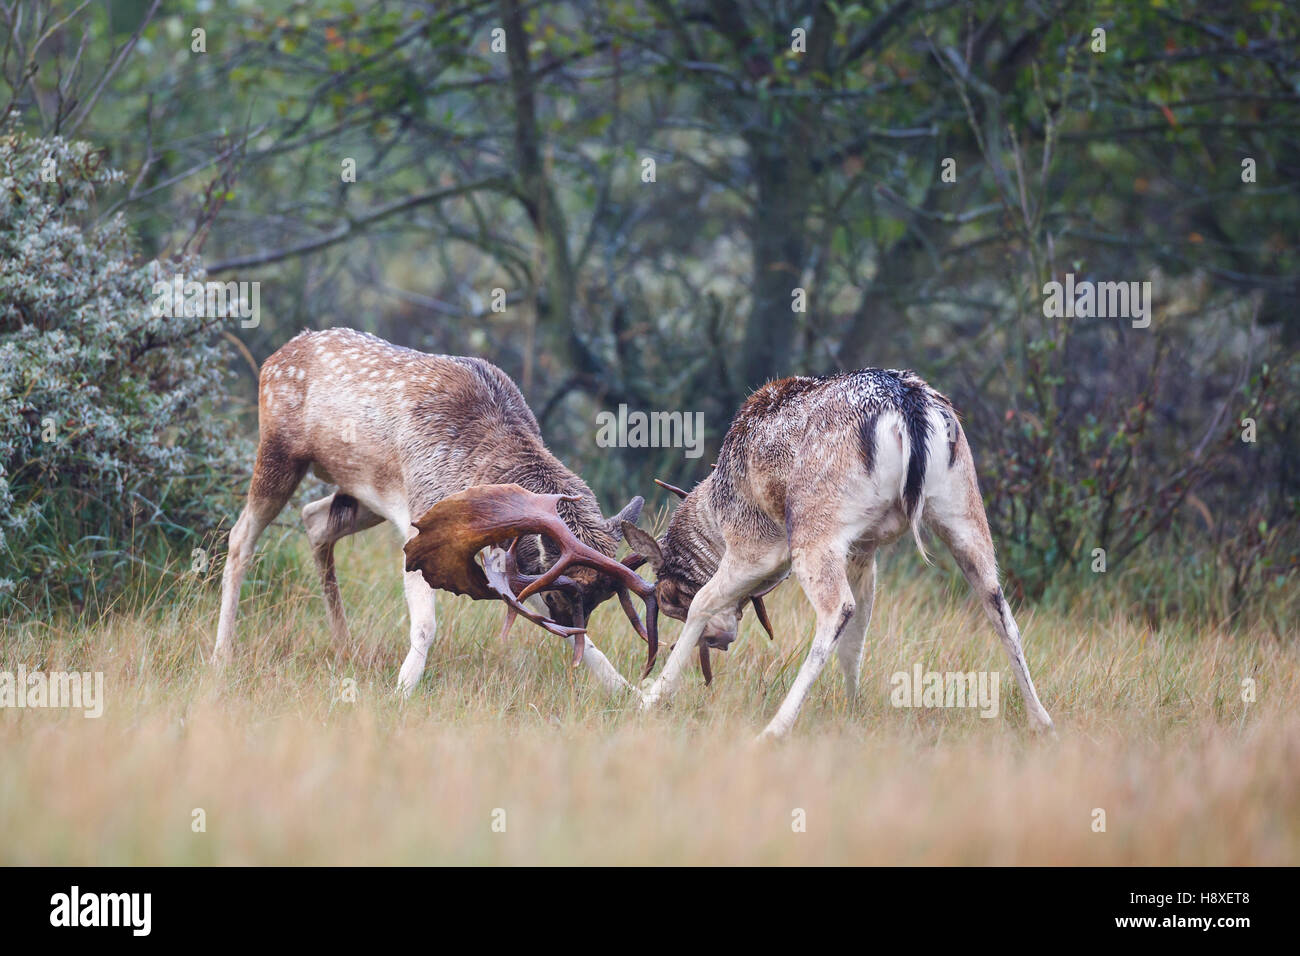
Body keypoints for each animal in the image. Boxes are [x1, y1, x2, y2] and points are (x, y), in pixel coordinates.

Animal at [212, 327, 657, 694]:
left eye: (598, 599)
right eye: (559, 592)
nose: (567, 625)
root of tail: (274, 357)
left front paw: (628, 692)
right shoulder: (422, 524)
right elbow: (425, 625)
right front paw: (402, 690)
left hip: (362, 494)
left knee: (315, 520)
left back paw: (344, 646)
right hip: (278, 453)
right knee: (241, 536)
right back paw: (223, 655)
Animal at [620, 368, 1056, 740]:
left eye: (671, 600)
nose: (721, 640)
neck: (718, 508)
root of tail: (909, 407)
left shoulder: (754, 544)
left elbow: (706, 600)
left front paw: (651, 698)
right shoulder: (865, 549)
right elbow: (859, 632)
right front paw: (854, 710)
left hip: (814, 530)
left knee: (837, 609)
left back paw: (774, 729)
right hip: (963, 509)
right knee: (997, 605)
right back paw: (1043, 722)